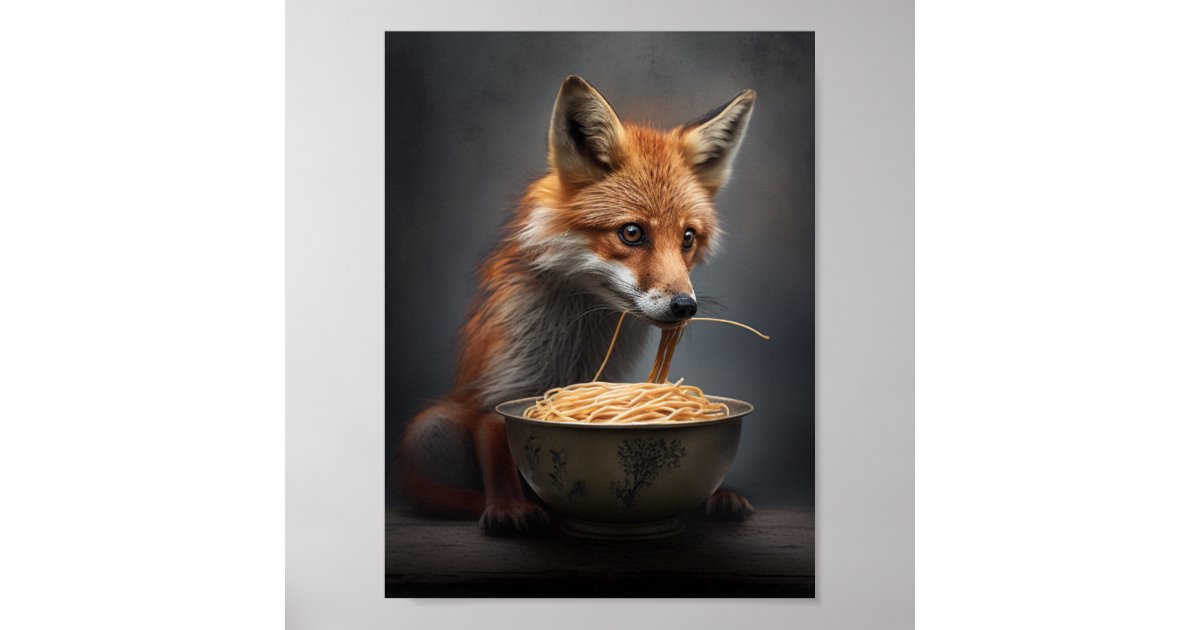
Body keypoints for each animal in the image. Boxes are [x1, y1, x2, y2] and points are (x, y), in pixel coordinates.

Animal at [397, 75, 757, 536]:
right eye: (632, 233)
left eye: (688, 238)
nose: (684, 306)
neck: (576, 347)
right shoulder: (501, 390)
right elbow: (499, 454)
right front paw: (508, 509)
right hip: (432, 427)